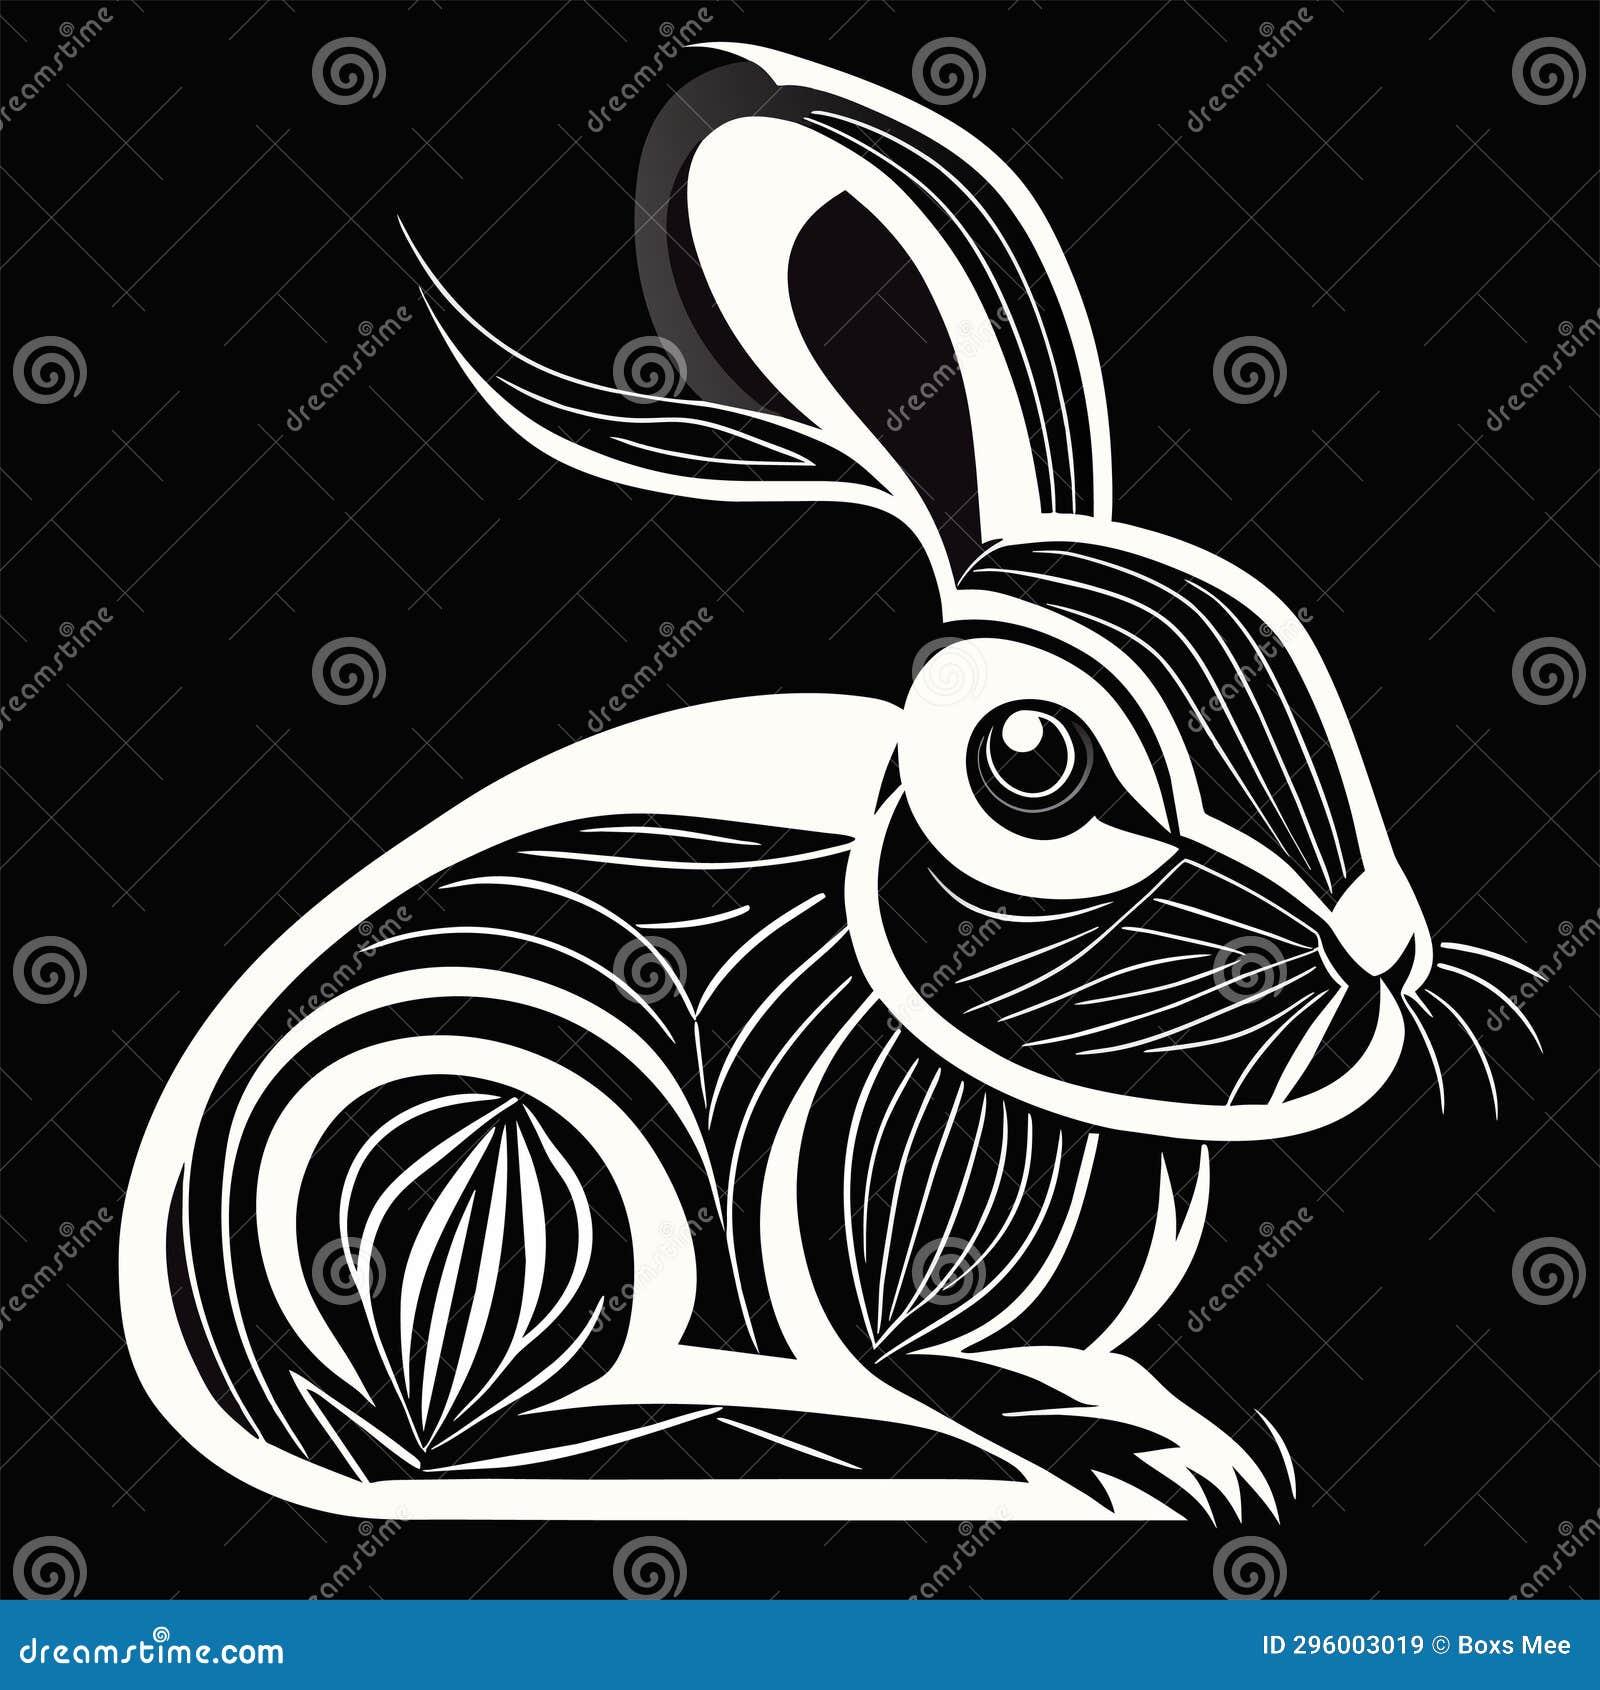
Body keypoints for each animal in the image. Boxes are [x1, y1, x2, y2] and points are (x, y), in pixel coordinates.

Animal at [122, 42, 1530, 1525]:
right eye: (1033, 761)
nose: (1379, 950)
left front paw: (1189, 1444)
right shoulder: (883, 1294)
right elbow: (955, 1378)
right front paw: (1151, 1460)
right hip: (506, 1150)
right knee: (476, 1423)